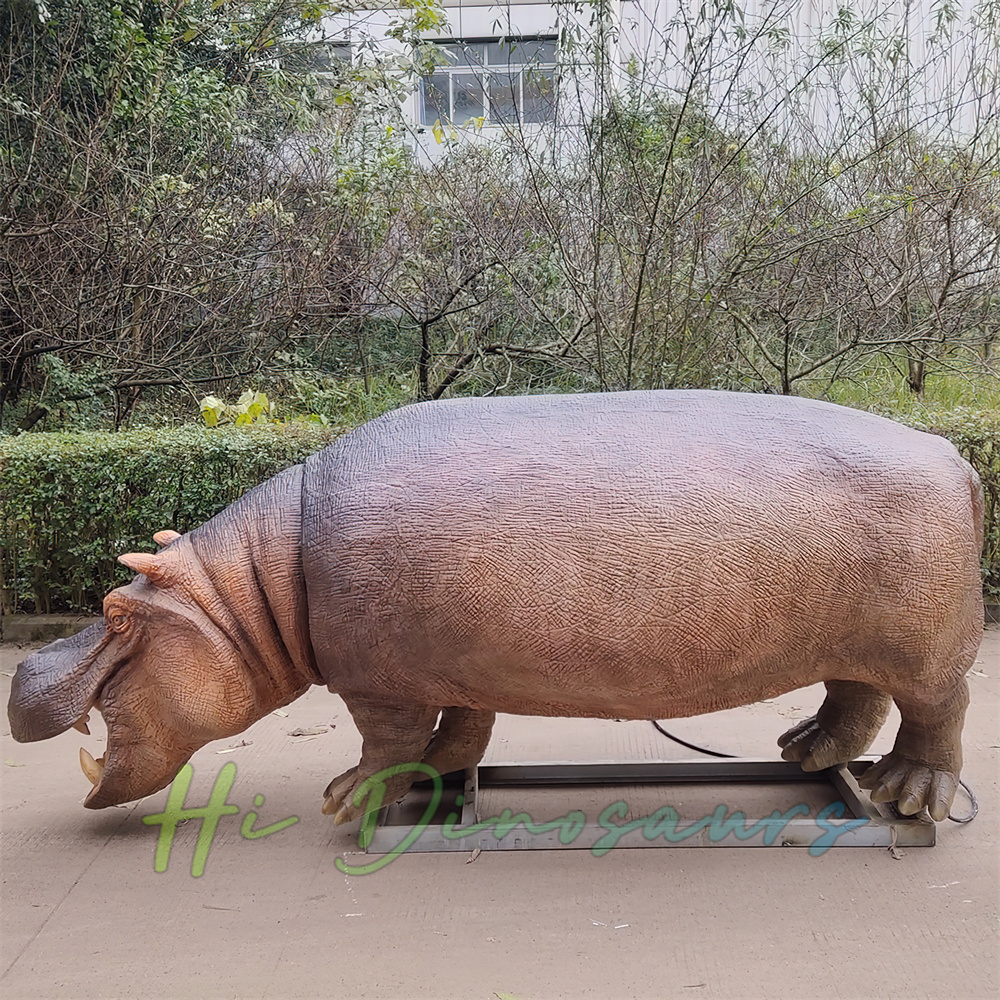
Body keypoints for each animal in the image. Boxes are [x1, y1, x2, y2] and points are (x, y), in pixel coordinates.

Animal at [7, 390, 985, 825]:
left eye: (116, 609)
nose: (25, 672)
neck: (250, 588)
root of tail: (954, 455)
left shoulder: (379, 681)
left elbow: (386, 741)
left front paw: (345, 798)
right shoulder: (446, 660)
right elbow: (461, 730)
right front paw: (438, 781)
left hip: (926, 651)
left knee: (939, 713)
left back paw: (907, 799)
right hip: (856, 640)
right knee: (853, 701)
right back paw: (803, 751)